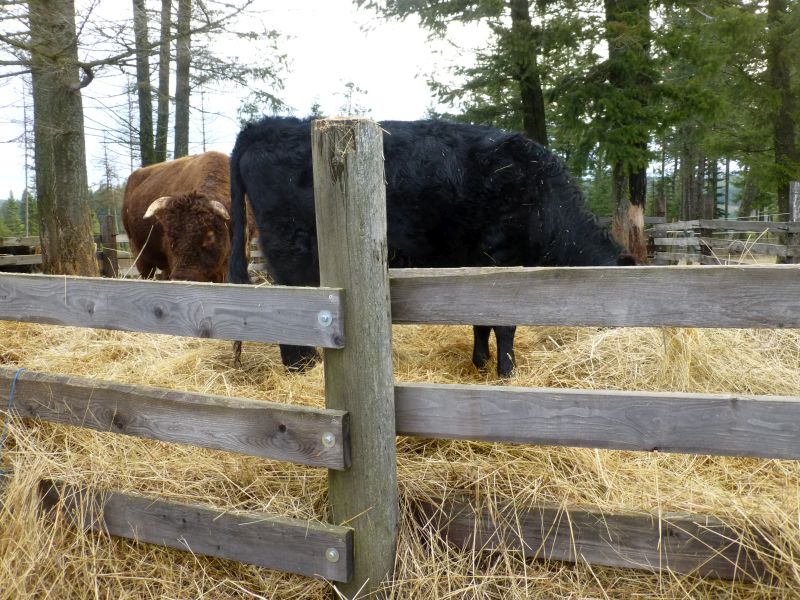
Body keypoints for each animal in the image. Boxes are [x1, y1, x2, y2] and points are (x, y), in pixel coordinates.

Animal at [228, 117, 634, 376]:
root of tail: (266, 125)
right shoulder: (504, 259)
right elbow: (504, 324)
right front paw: (508, 371)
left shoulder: (476, 266)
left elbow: (480, 321)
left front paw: (480, 363)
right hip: (293, 252)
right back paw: (302, 369)